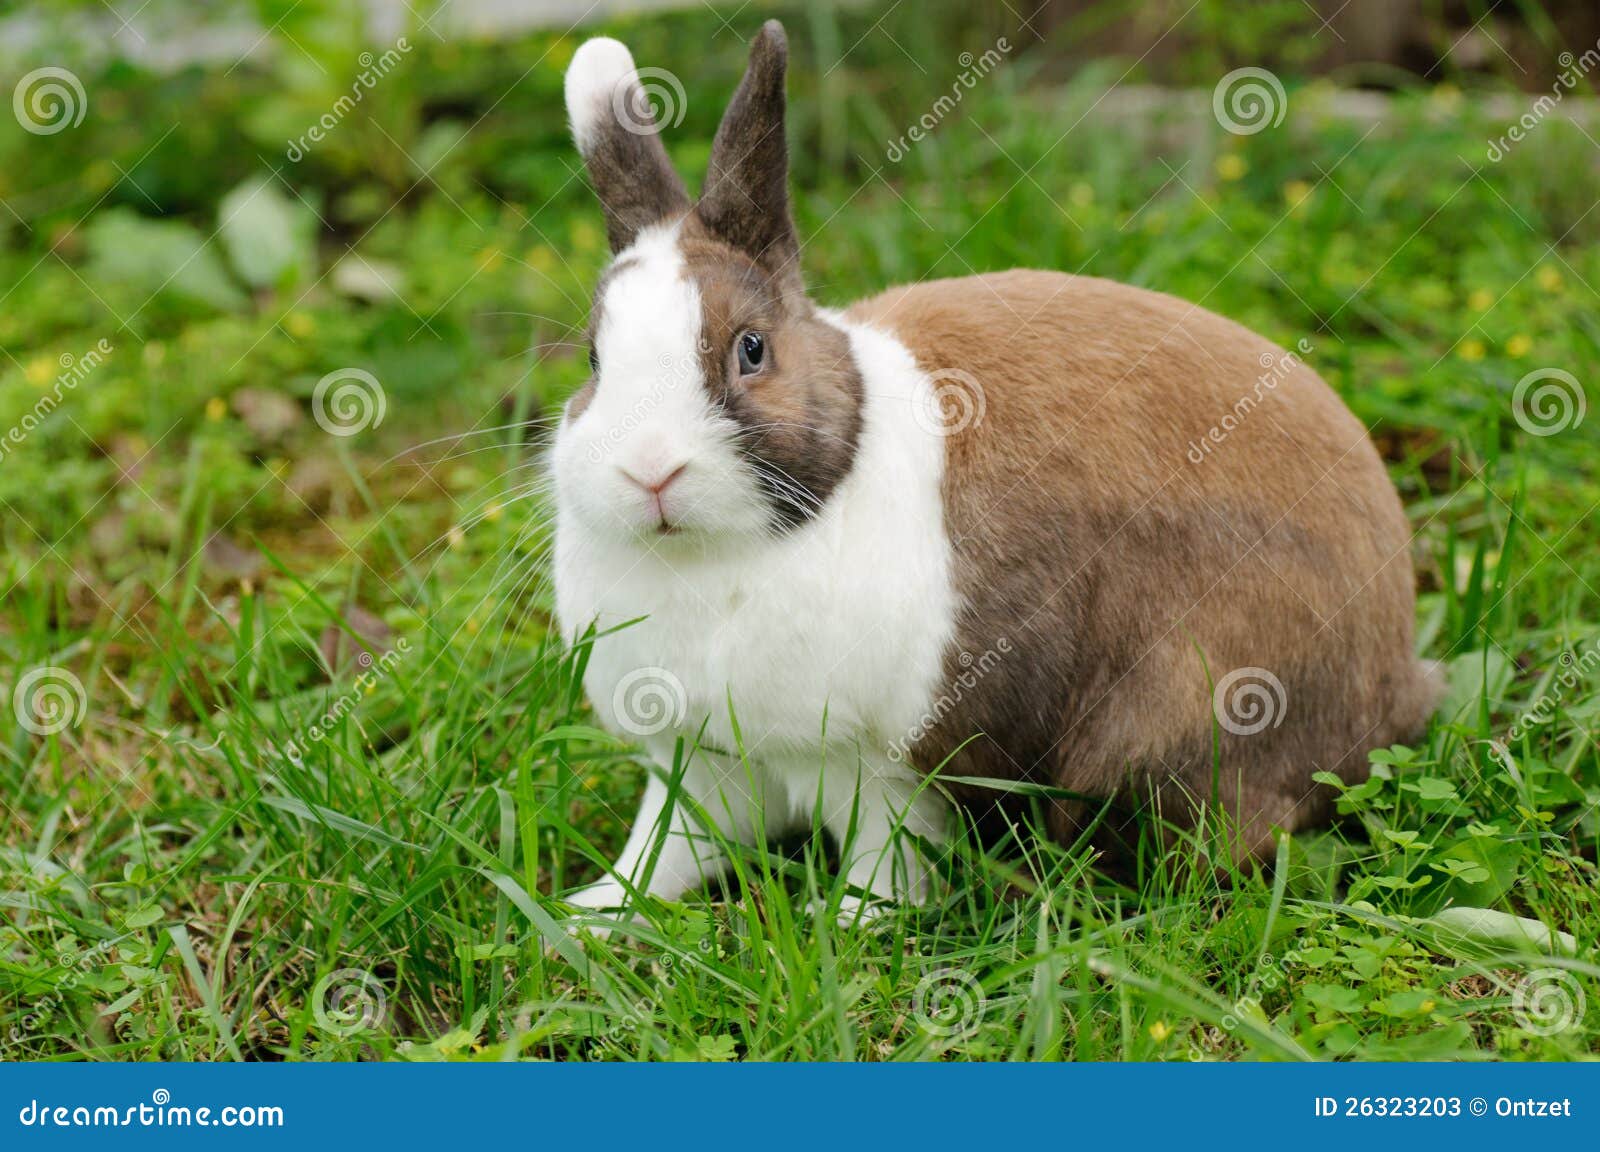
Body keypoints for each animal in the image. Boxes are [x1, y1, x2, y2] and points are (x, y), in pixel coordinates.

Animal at [549, 21, 1439, 922]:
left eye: (751, 350)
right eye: (593, 360)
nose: (649, 471)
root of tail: (1397, 670)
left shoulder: (884, 768)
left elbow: (887, 858)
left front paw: (855, 924)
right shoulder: (703, 761)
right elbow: (670, 847)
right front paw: (593, 914)